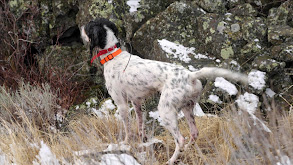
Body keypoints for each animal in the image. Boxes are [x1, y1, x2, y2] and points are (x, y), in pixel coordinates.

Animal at [80, 18, 246, 165]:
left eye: (87, 26)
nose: (80, 27)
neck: (112, 55)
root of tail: (190, 75)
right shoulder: (137, 102)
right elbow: (140, 126)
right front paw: (142, 142)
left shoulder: (122, 104)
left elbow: (127, 128)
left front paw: (124, 143)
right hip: (187, 108)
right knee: (194, 133)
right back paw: (186, 150)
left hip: (165, 111)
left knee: (180, 139)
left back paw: (171, 160)